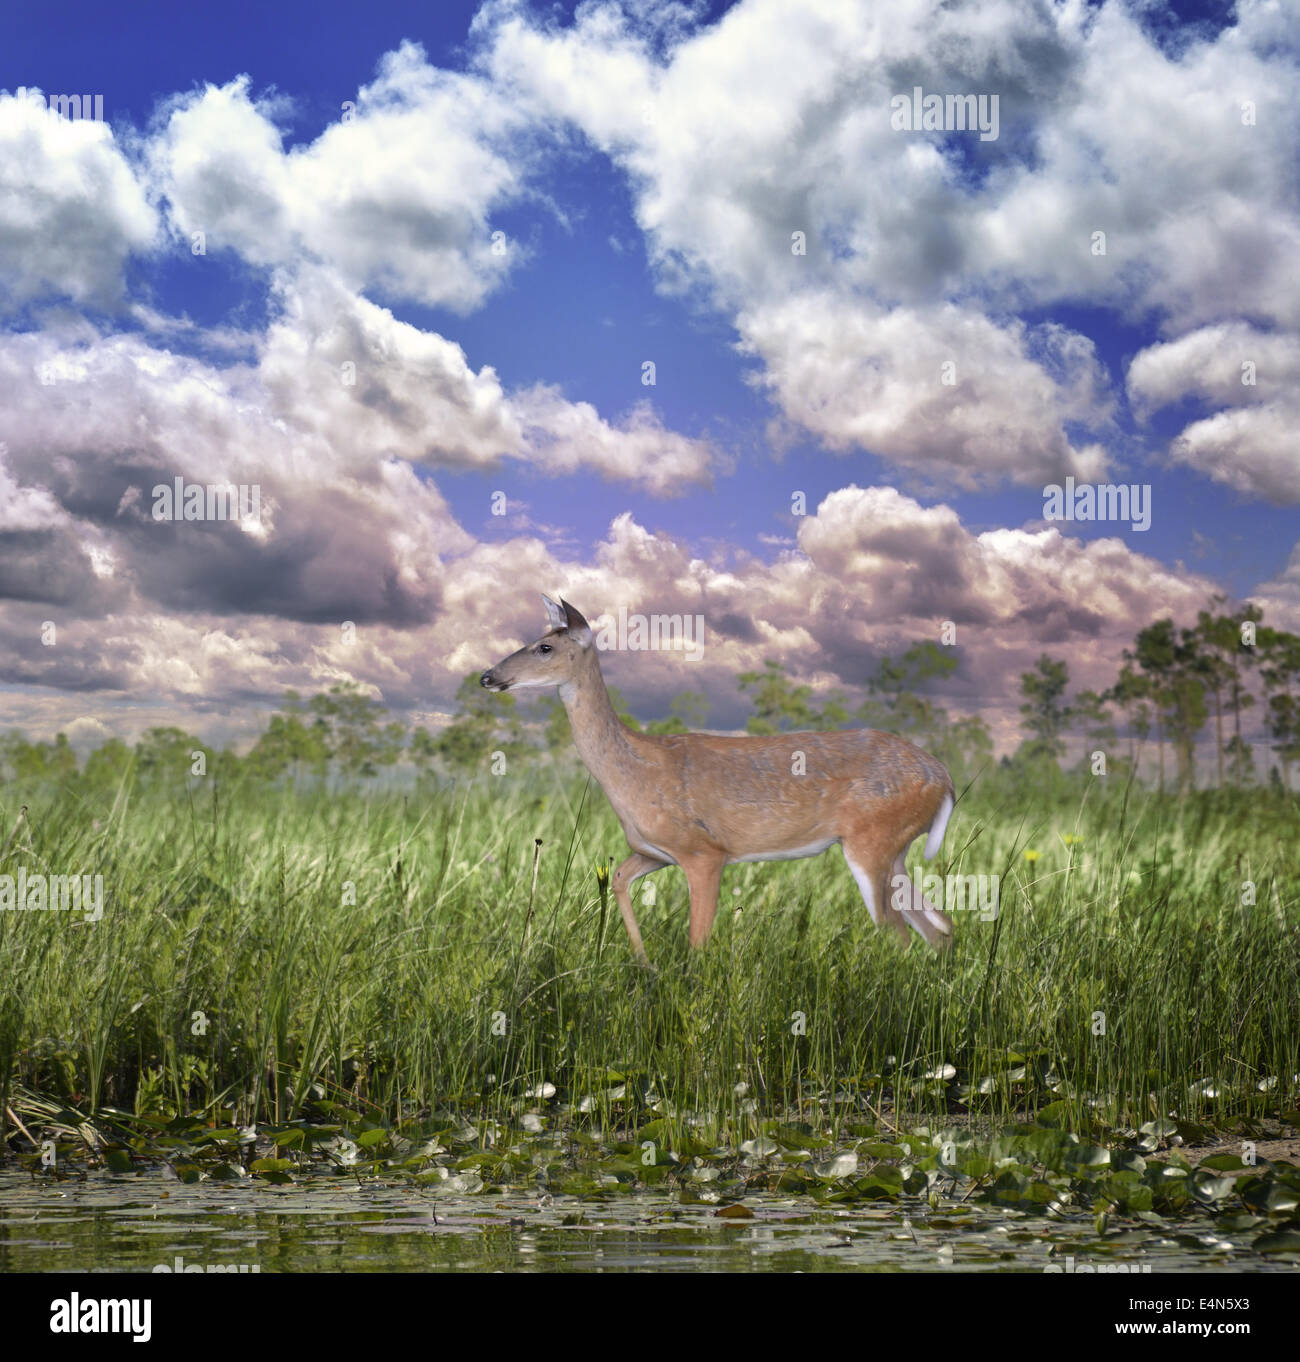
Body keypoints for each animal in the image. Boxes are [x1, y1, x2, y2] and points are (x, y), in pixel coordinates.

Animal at [480, 596, 956, 963]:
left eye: (544, 647)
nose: (487, 676)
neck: (633, 773)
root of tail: (944, 777)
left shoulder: (705, 852)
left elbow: (698, 942)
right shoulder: (653, 851)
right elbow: (617, 879)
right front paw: (645, 964)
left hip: (872, 839)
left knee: (898, 932)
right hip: (895, 850)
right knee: (940, 926)